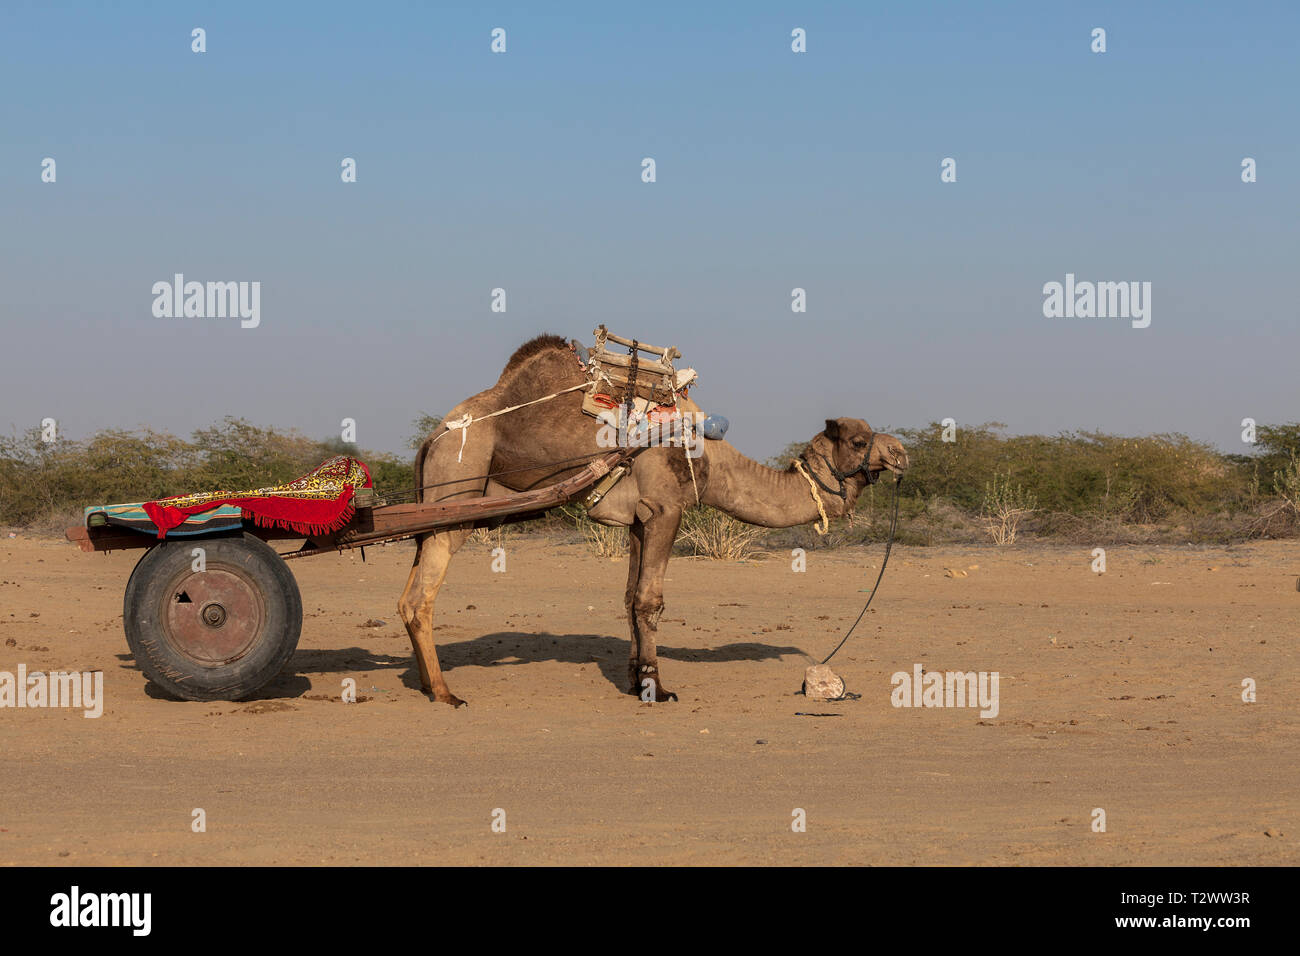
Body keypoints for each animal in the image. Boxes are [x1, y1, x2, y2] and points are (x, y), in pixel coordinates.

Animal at [400, 334, 909, 706]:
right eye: (859, 440)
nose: (900, 453)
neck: (709, 460)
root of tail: (433, 436)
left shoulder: (639, 520)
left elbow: (629, 597)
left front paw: (635, 680)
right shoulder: (666, 509)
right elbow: (650, 601)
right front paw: (656, 689)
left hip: (432, 507)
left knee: (409, 589)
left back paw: (426, 684)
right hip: (457, 490)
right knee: (420, 598)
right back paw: (445, 693)